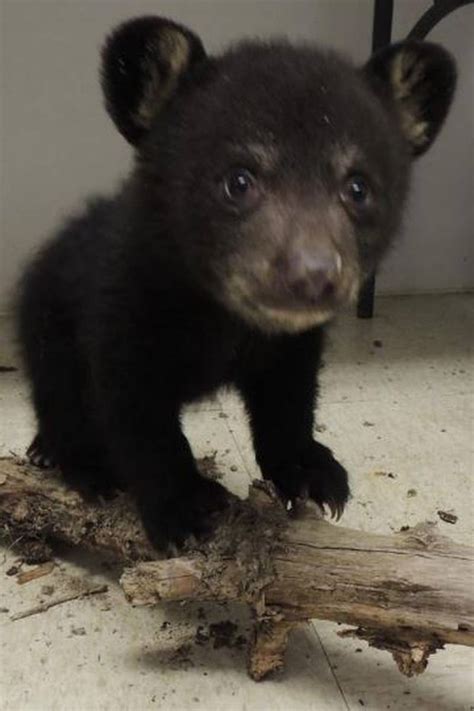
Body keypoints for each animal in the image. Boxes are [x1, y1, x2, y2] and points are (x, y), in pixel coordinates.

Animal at [16, 16, 456, 549]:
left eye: (358, 187)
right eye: (239, 180)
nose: (313, 276)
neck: (223, 314)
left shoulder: (292, 343)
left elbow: (288, 396)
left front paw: (309, 470)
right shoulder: (122, 311)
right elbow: (138, 419)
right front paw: (183, 507)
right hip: (47, 327)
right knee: (60, 397)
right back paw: (76, 462)